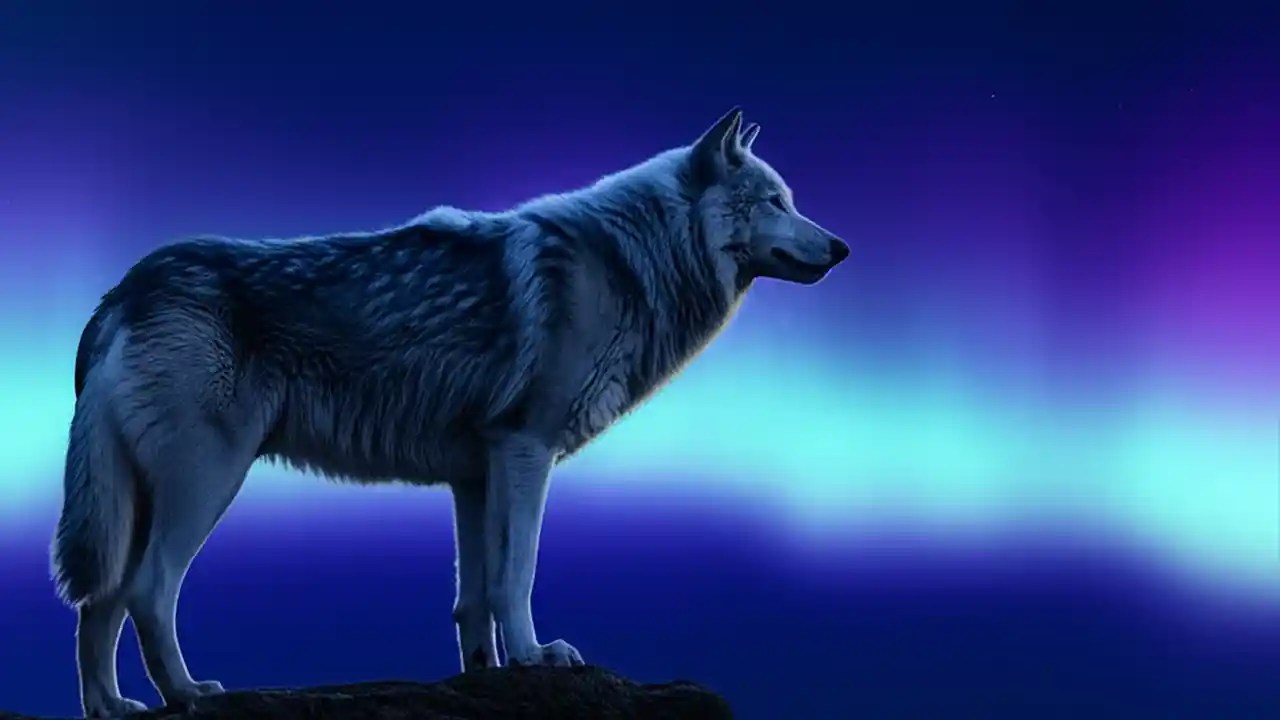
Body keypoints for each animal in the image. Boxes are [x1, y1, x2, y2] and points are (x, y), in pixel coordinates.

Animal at [50, 107, 848, 717]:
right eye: (776, 202)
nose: (841, 246)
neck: (627, 262)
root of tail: (123, 289)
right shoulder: (526, 450)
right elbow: (516, 576)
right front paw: (536, 655)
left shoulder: (474, 472)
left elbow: (475, 598)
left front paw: (488, 676)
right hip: (208, 482)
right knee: (148, 591)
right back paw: (187, 694)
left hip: (136, 503)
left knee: (98, 604)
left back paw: (112, 707)